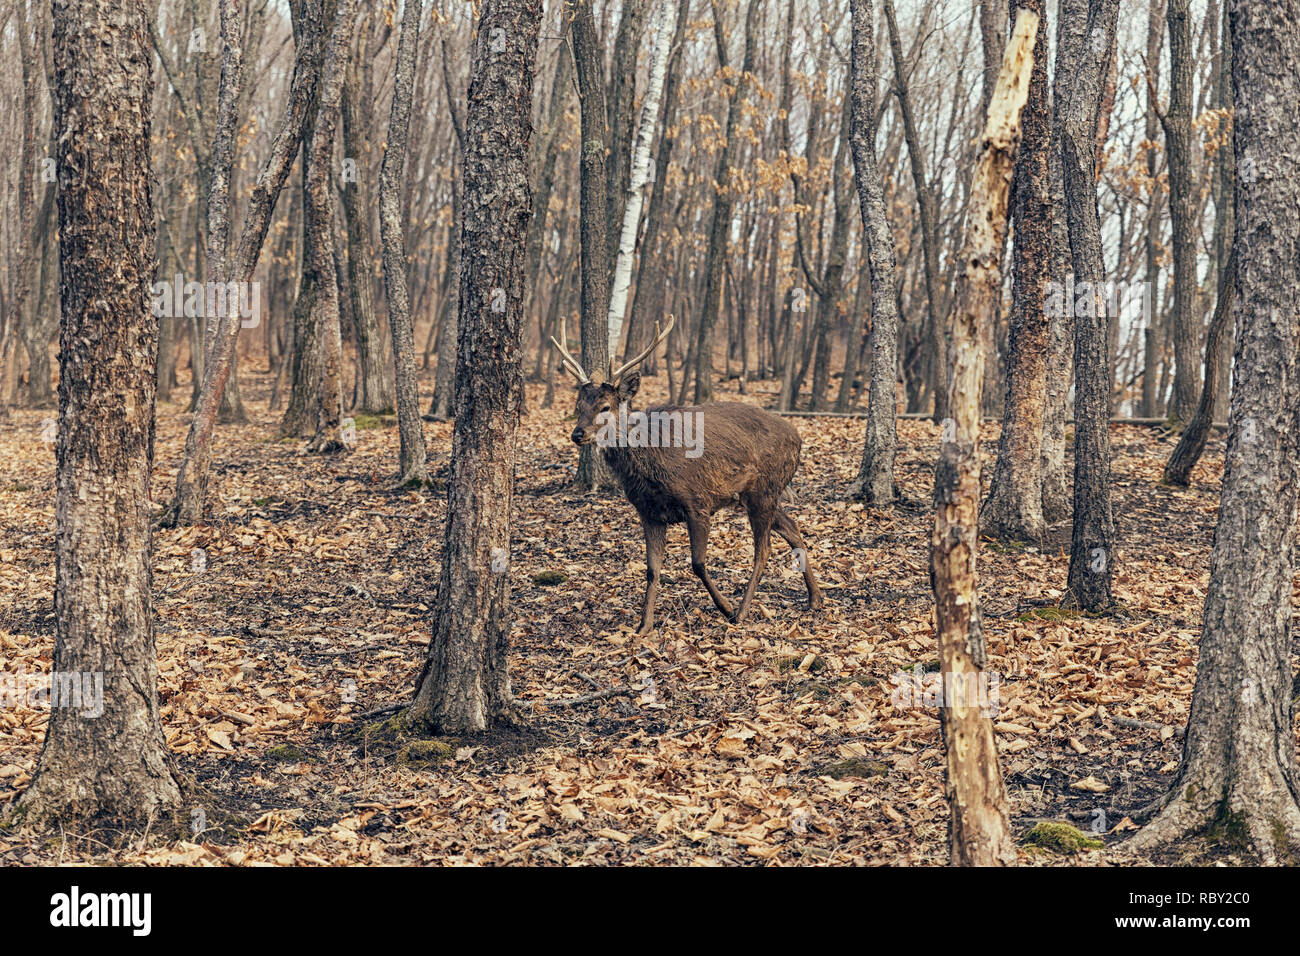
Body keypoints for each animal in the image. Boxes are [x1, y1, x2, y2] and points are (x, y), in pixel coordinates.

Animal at [552, 314, 823, 634]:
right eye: (578, 406)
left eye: (606, 406)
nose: (577, 434)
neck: (651, 465)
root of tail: (798, 438)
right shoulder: (648, 511)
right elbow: (652, 569)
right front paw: (643, 626)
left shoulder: (698, 500)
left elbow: (698, 563)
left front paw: (725, 608)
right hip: (756, 494)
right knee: (792, 528)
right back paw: (815, 599)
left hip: (765, 489)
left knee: (763, 549)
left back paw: (742, 611)